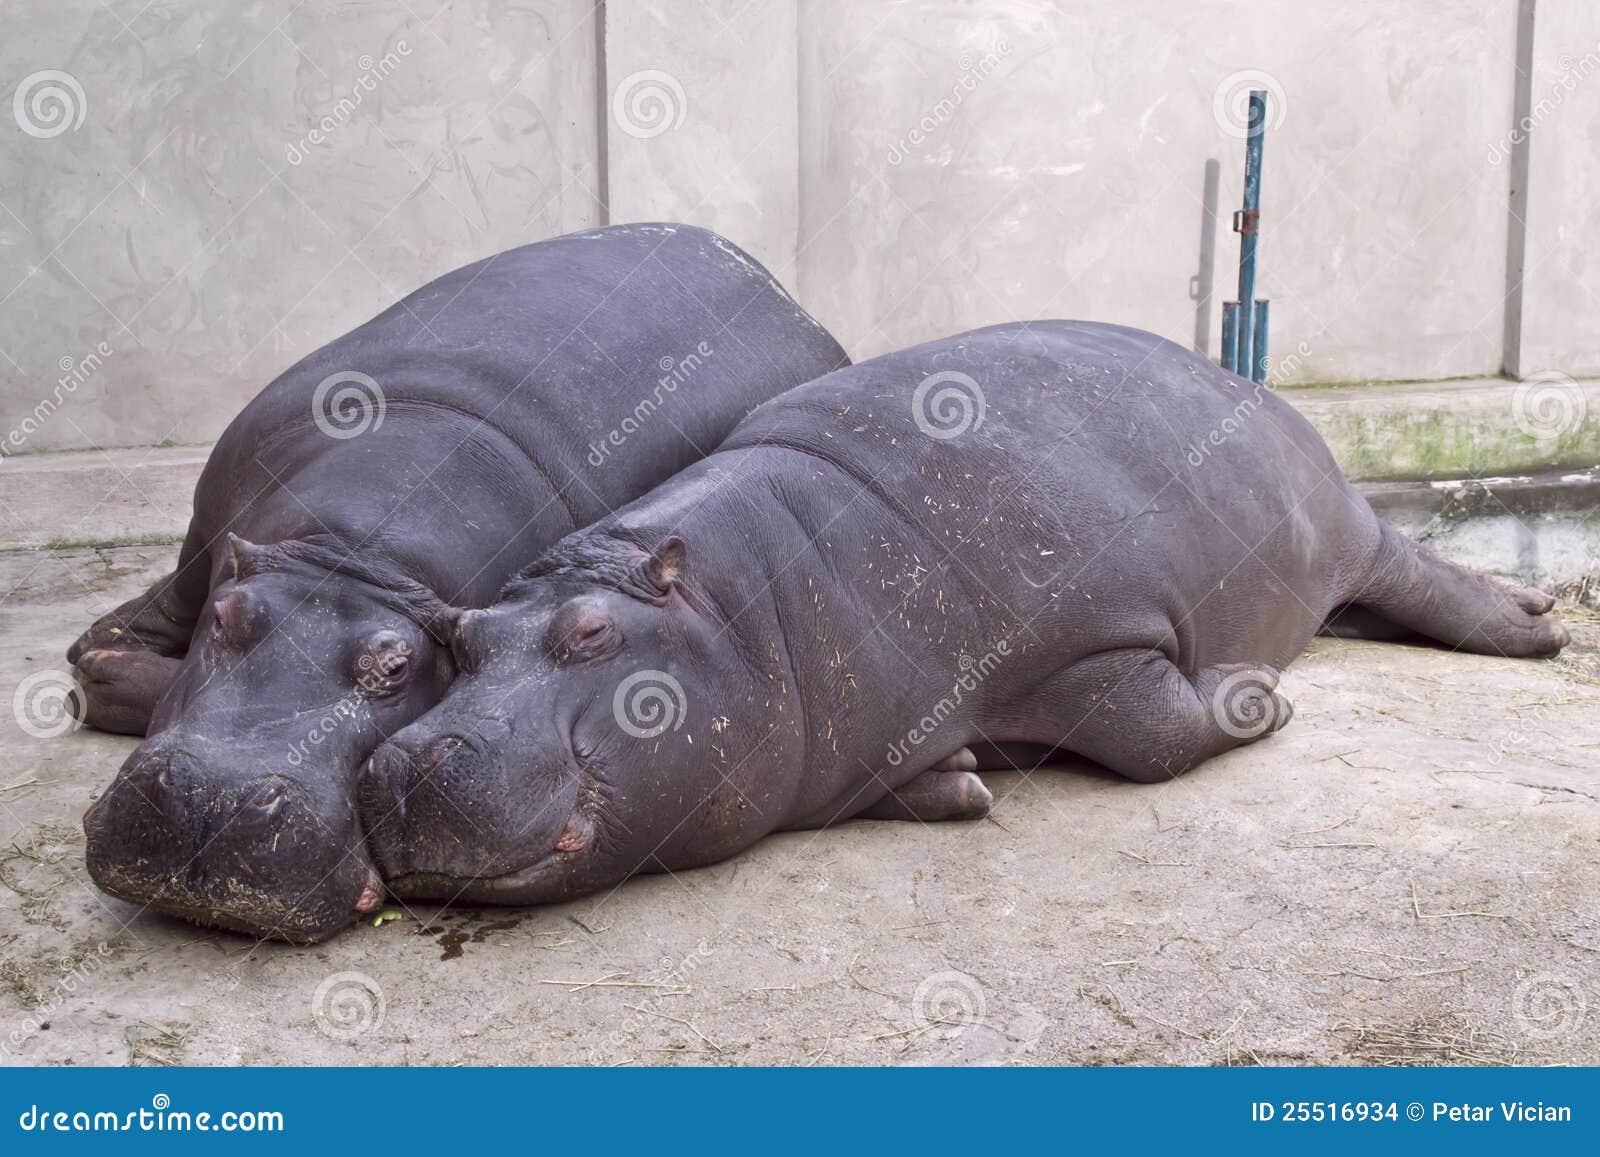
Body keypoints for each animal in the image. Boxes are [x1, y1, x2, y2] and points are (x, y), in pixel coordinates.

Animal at [73, 223, 848, 942]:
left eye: (397, 667)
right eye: (227, 617)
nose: (212, 801)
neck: (353, 554)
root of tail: (780, 291)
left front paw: (103, 677)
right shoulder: (210, 545)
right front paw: (98, 661)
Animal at [360, 320, 1567, 916]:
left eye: (593, 635)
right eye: (459, 637)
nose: (407, 760)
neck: (759, 600)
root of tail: (1246, 385)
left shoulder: (1095, 640)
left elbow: (1156, 736)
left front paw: (1261, 697)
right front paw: (964, 782)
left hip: (1340, 527)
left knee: (1416, 570)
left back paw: (1539, 623)